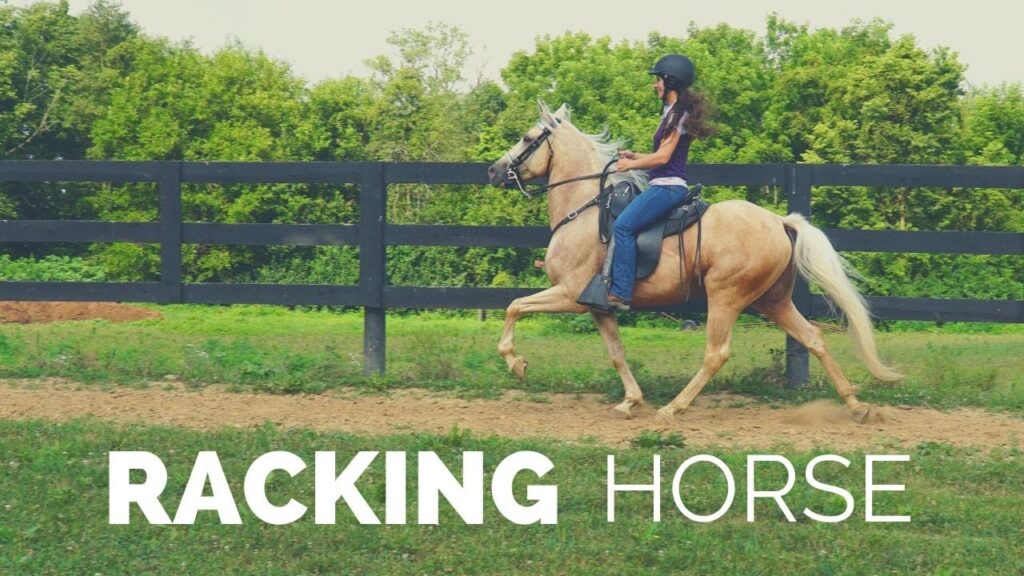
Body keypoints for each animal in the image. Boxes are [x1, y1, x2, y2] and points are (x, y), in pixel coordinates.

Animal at [486, 102, 902, 422]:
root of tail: (779, 221)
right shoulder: (598, 307)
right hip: (773, 301)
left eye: (527, 137)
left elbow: (514, 307)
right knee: (813, 338)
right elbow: (617, 353)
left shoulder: (569, 294)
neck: (583, 210)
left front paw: (516, 364)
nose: (493, 170)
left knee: (717, 353)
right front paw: (630, 401)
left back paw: (674, 407)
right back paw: (856, 405)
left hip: (726, 297)